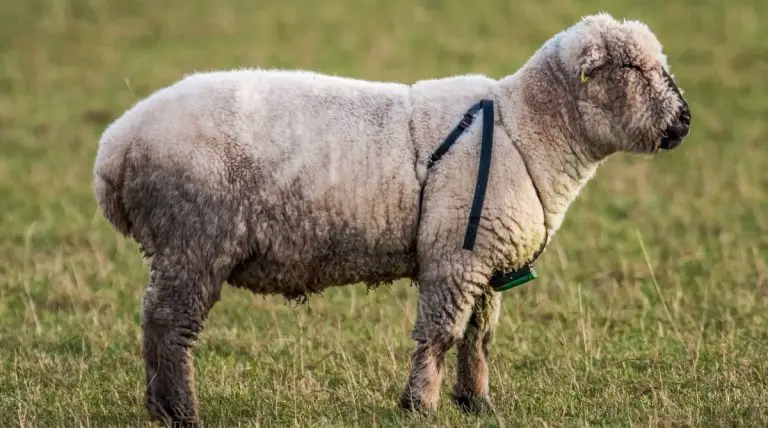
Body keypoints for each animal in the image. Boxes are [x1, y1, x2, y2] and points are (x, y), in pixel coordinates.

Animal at [93, 12, 691, 426]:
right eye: (631, 67)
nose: (684, 122)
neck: (527, 129)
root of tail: (116, 146)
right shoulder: (455, 256)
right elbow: (440, 335)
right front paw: (419, 404)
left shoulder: (485, 261)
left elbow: (478, 340)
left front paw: (477, 403)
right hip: (193, 239)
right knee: (167, 326)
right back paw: (179, 412)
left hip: (183, 244)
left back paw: (160, 409)